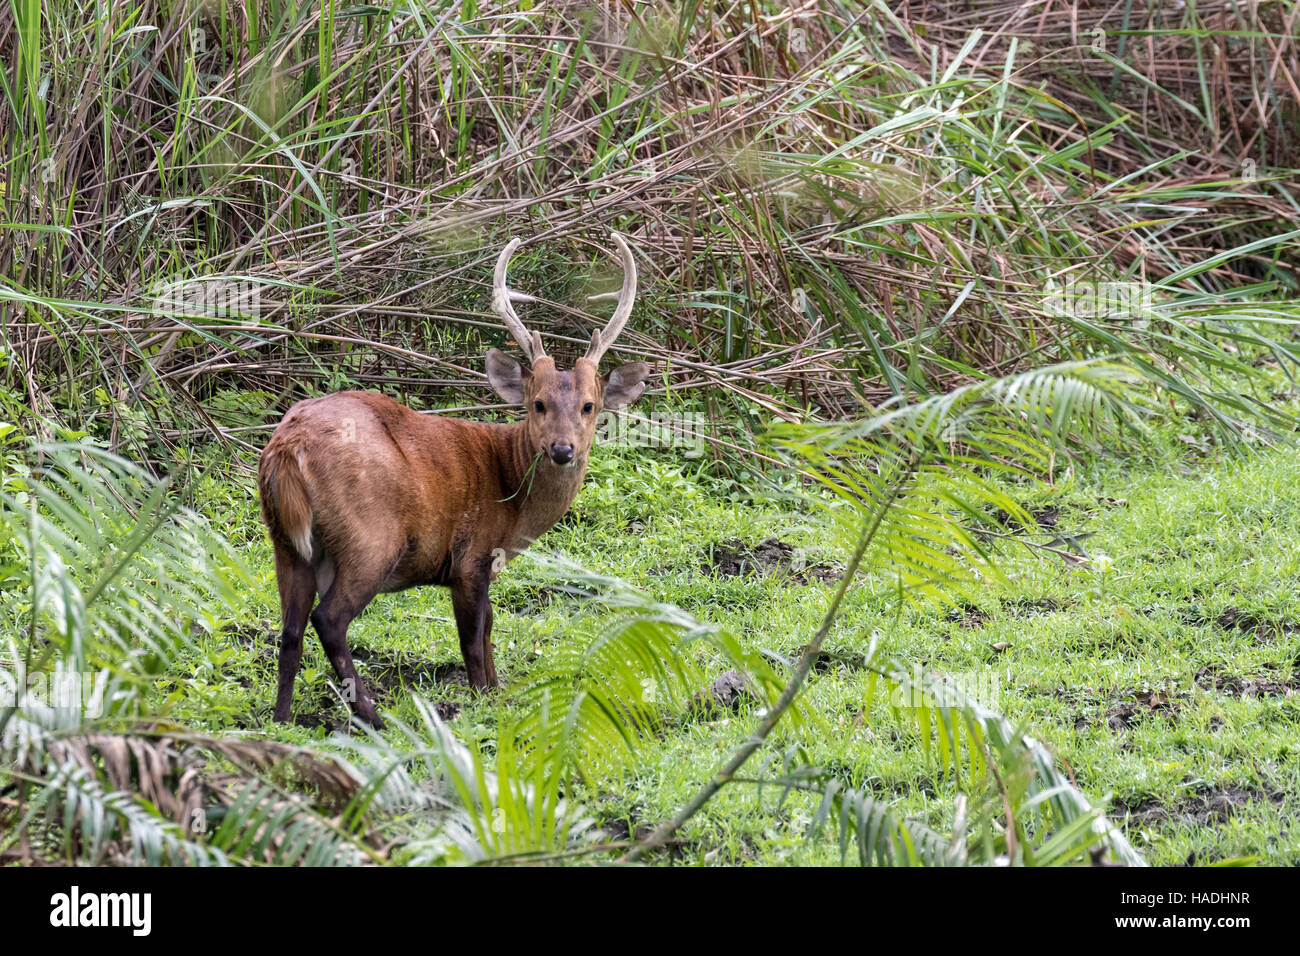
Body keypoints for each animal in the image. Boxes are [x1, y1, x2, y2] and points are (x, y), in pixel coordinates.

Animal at [257, 233, 650, 727]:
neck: (512, 499)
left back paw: (281, 718)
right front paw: (484, 701)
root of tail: (287, 446)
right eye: (537, 403)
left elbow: (490, 629)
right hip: (370, 537)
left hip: (286, 543)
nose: (562, 450)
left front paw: (498, 692)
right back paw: (375, 717)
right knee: (328, 620)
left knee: (289, 630)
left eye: (589, 406)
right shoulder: (471, 557)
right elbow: (474, 638)